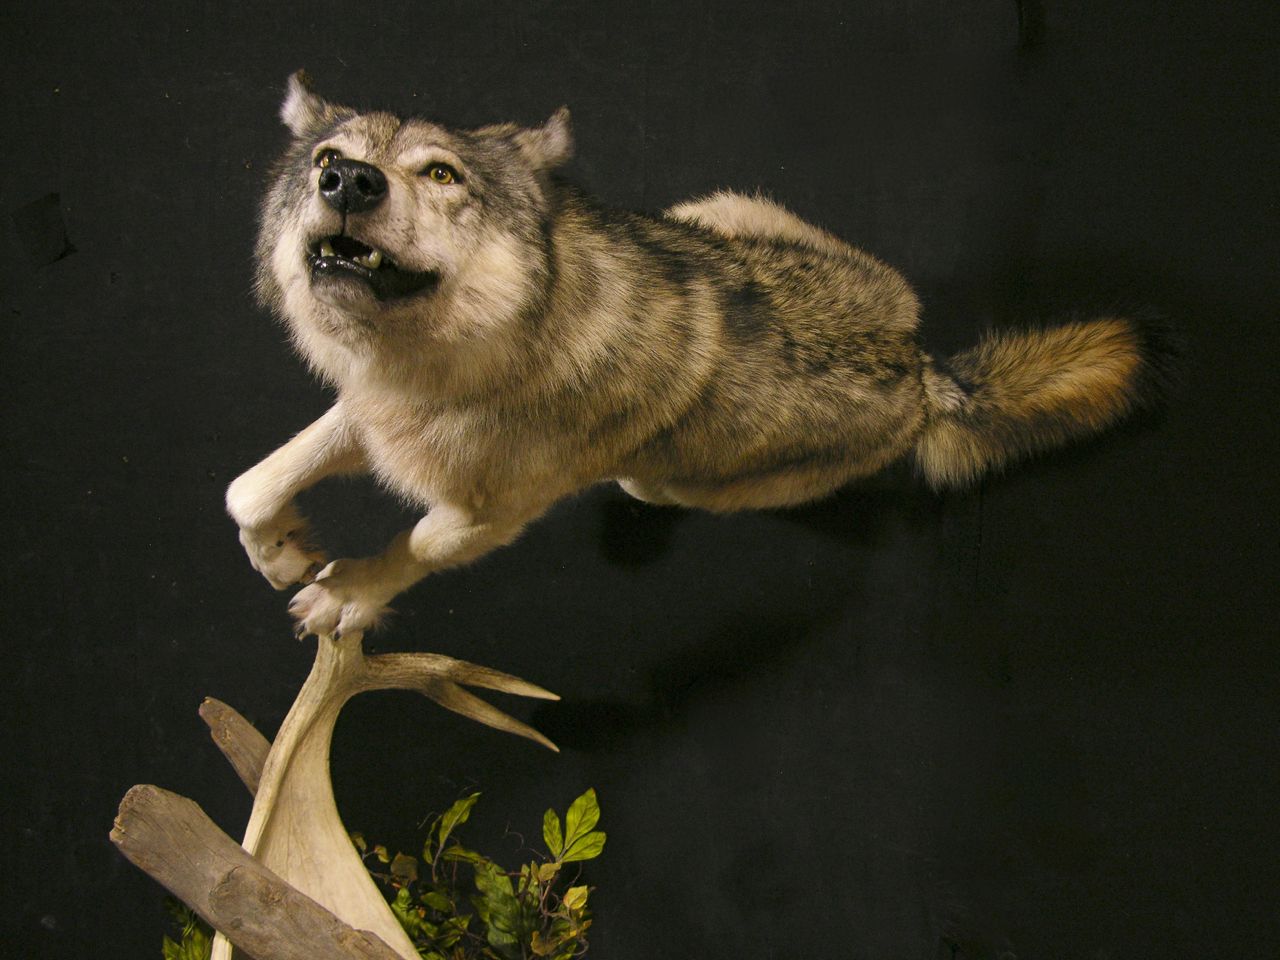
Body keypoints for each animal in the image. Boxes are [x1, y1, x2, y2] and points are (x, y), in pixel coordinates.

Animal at [225, 72, 1175, 639]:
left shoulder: (480, 518)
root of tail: (924, 369)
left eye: (441, 175)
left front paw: (347, 594)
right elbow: (252, 484)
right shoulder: (366, 409)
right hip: (711, 205)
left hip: (672, 479)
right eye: (329, 157)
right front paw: (280, 550)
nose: (348, 182)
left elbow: (412, 548)